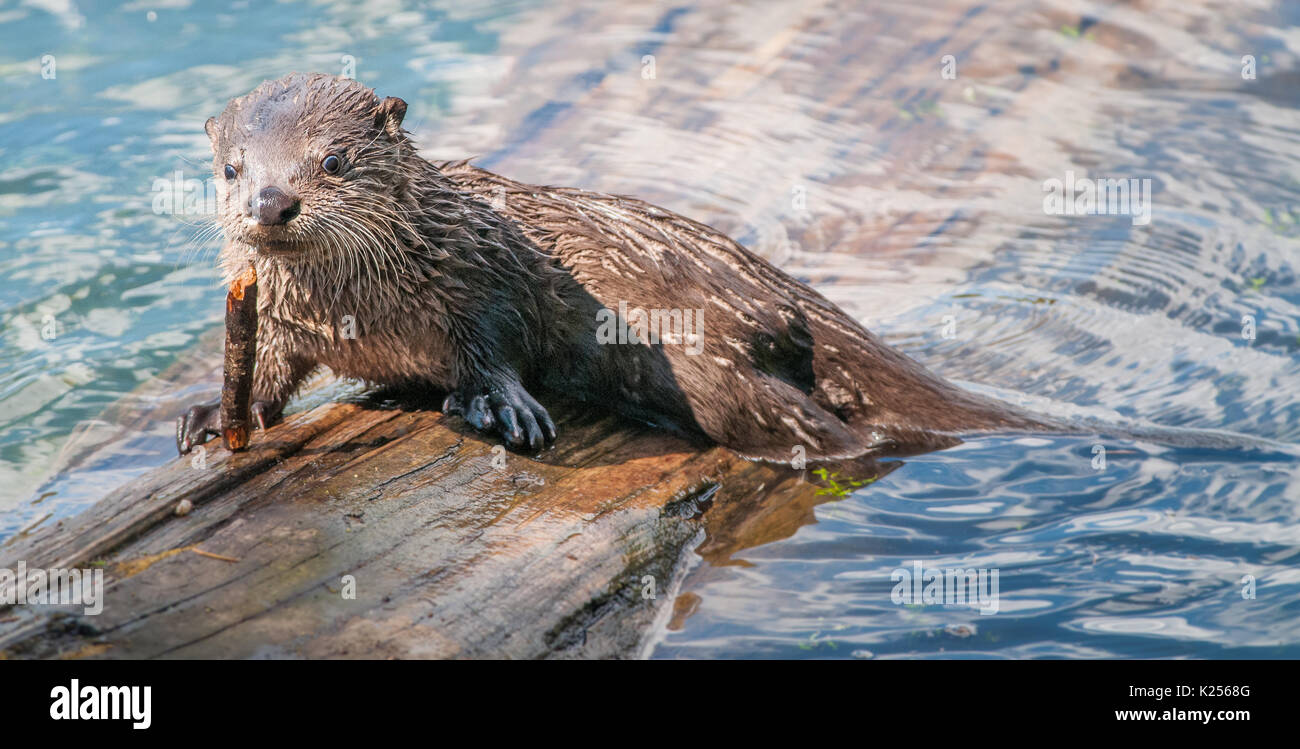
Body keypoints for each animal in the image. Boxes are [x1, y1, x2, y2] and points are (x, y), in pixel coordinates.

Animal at [176, 73, 1274, 461]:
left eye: (332, 161)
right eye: (232, 166)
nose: (270, 203)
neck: (365, 306)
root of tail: (789, 293)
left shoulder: (476, 282)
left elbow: (491, 346)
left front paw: (501, 407)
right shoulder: (284, 320)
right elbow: (268, 373)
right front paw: (208, 413)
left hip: (709, 363)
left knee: (821, 432)